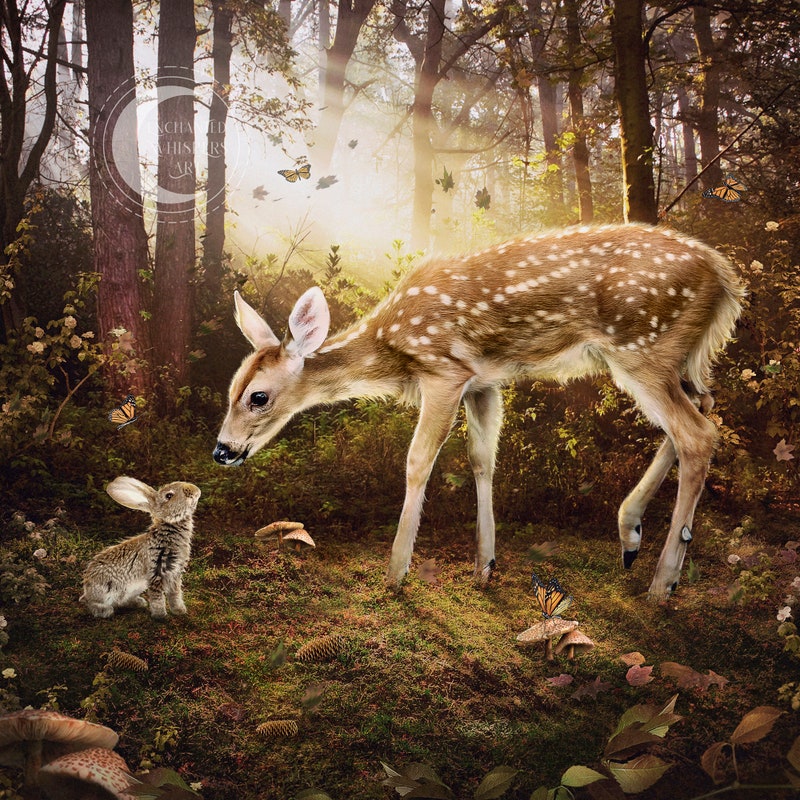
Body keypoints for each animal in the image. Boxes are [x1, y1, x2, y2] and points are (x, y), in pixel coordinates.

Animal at [213, 223, 744, 600]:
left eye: (258, 397)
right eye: (230, 387)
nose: (222, 450)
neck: (394, 347)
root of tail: (725, 276)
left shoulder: (445, 371)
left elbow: (418, 461)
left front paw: (396, 572)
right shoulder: (483, 382)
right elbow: (482, 460)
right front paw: (484, 566)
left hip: (643, 345)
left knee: (698, 433)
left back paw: (662, 583)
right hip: (681, 357)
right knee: (705, 410)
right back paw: (630, 537)